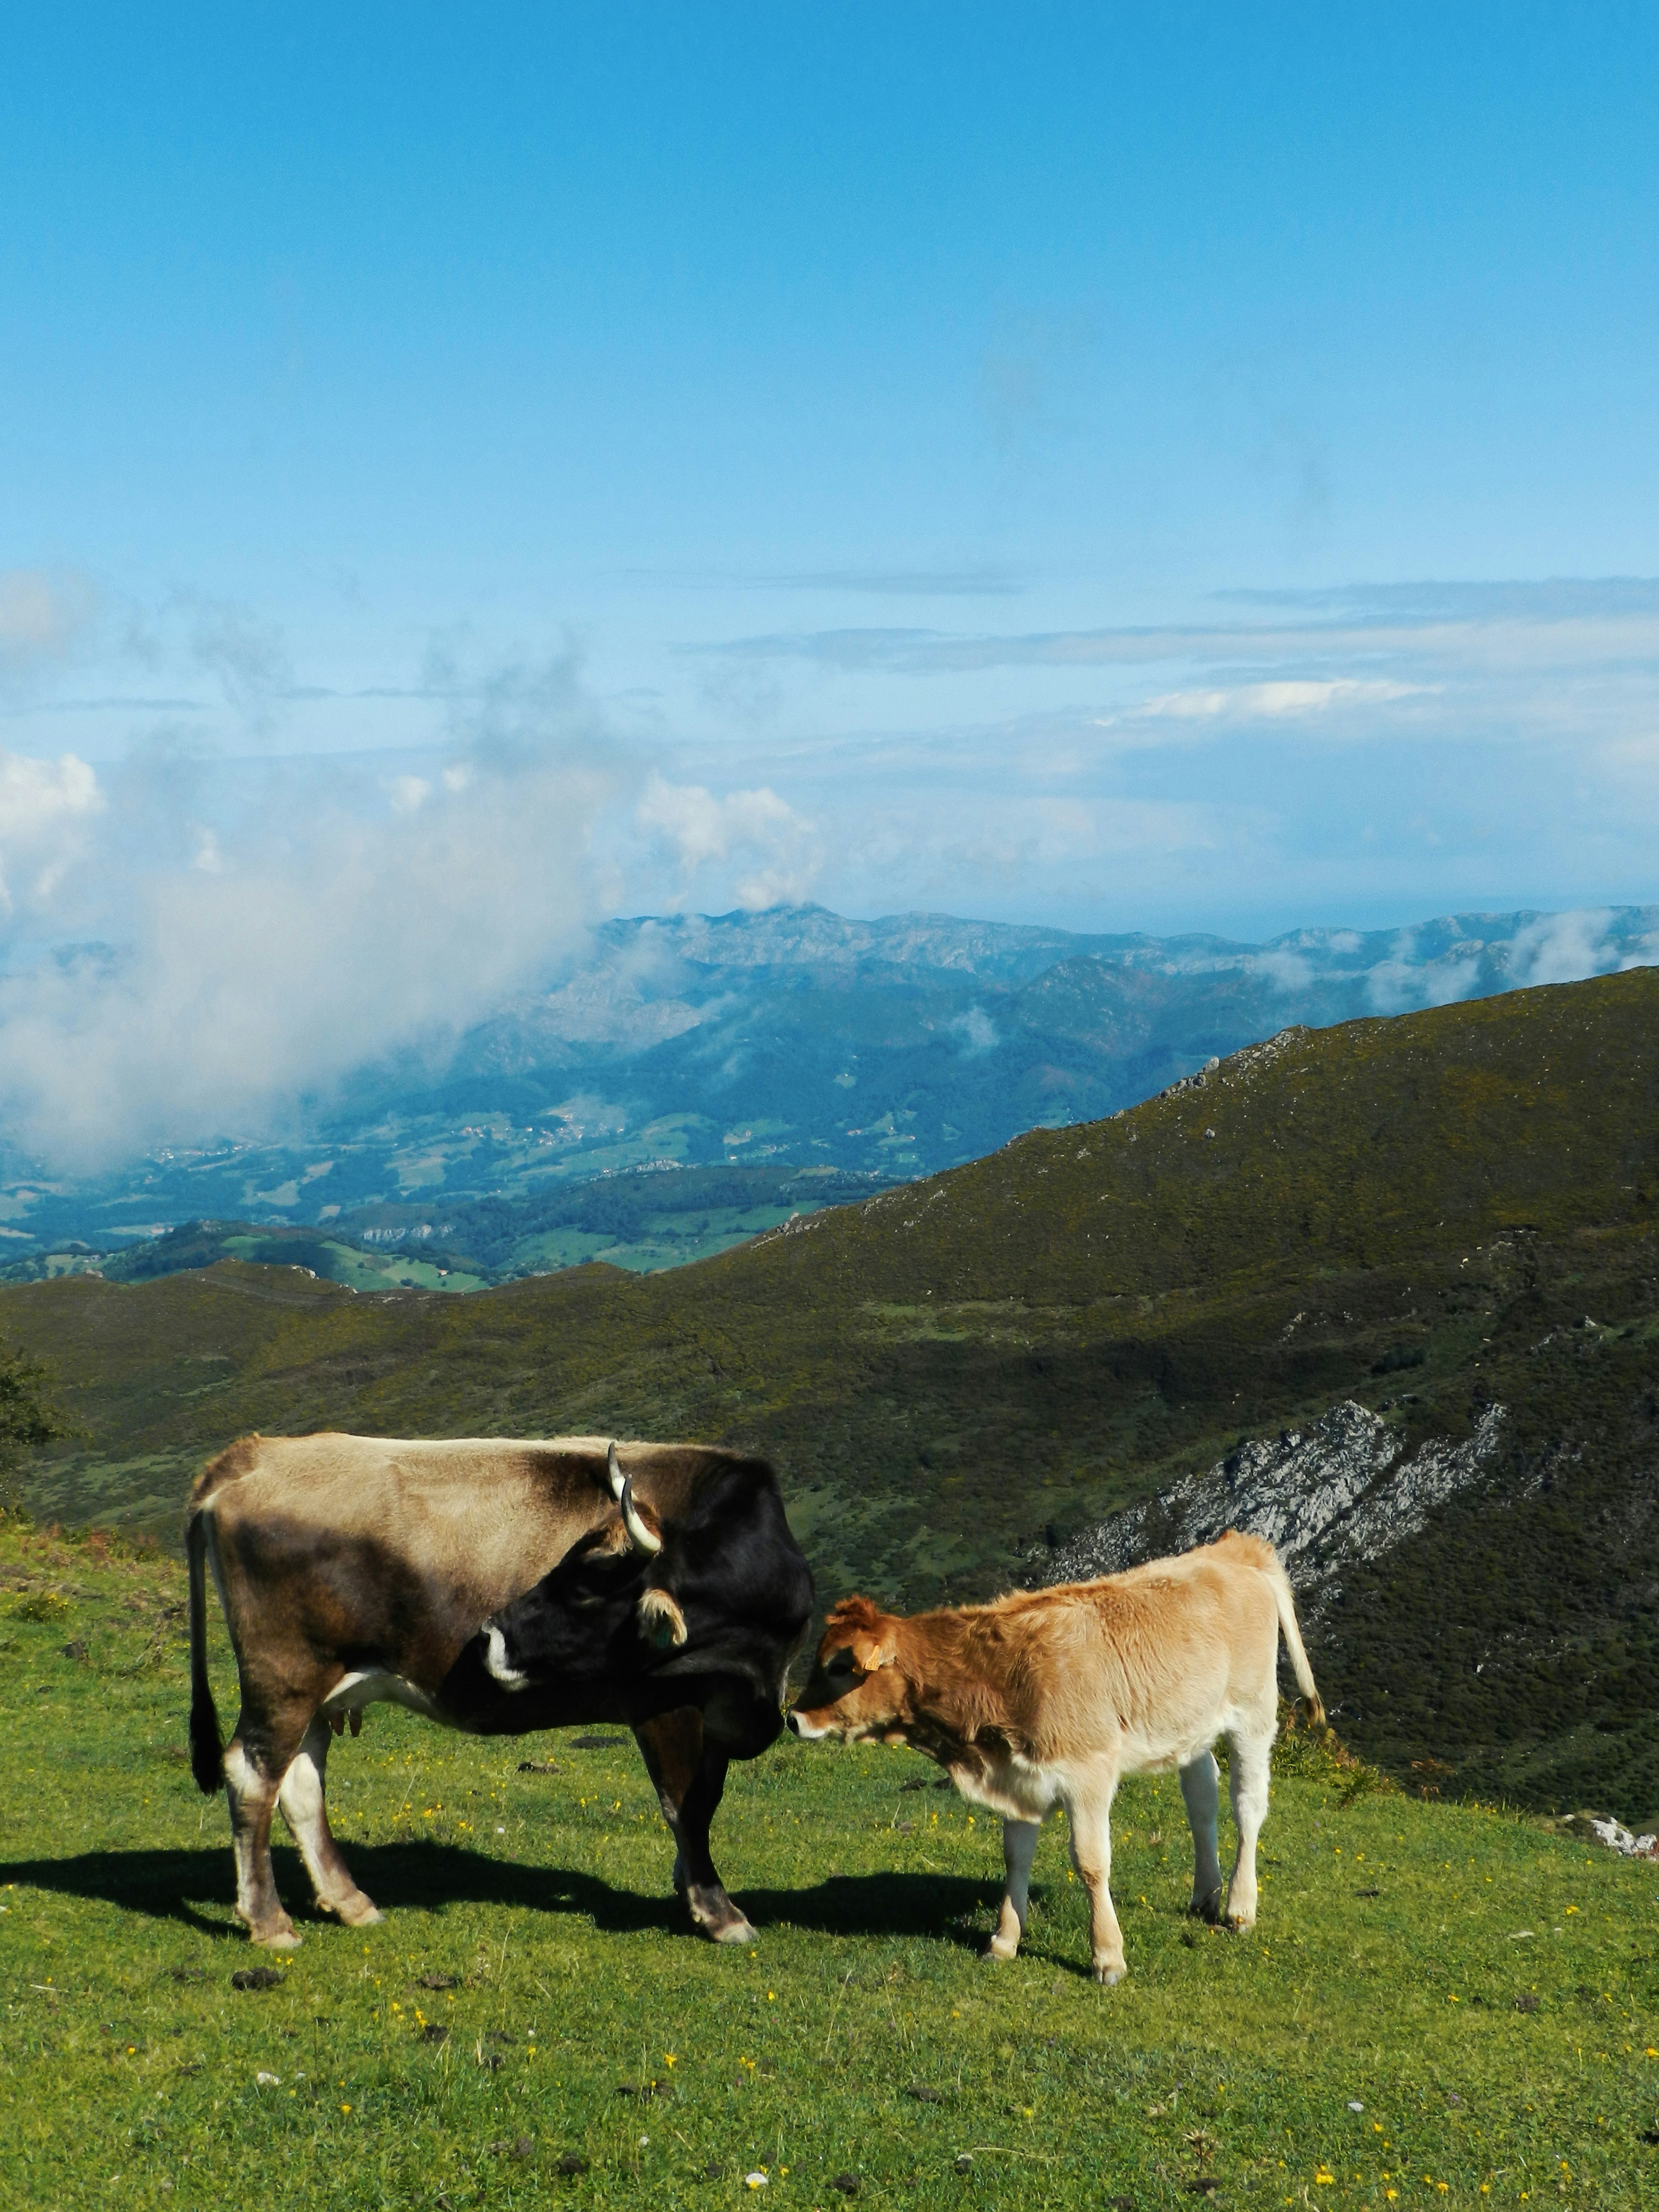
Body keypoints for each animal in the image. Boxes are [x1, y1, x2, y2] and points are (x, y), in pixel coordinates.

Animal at [187, 1432, 813, 1950]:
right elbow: (687, 1805)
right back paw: (269, 1921)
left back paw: (350, 1902)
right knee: (253, 1774)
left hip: (318, 1691)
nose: (490, 1635)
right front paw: (719, 1912)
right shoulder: (665, 1703)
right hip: (285, 1675)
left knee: (299, 1783)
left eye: (587, 1584)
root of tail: (254, 1453)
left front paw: (688, 1890)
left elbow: (706, 1798)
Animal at [786, 1531, 1322, 1984]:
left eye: (839, 1667)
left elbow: (1091, 1863)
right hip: (1192, 1727)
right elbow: (1015, 1856)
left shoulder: (1089, 1773)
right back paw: (1204, 1895)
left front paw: (1107, 1956)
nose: (792, 1718)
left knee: (1248, 1806)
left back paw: (1239, 1907)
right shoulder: (1018, 1775)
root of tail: (1233, 1549)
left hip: (1254, 1714)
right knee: (1202, 1799)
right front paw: (1004, 1940)